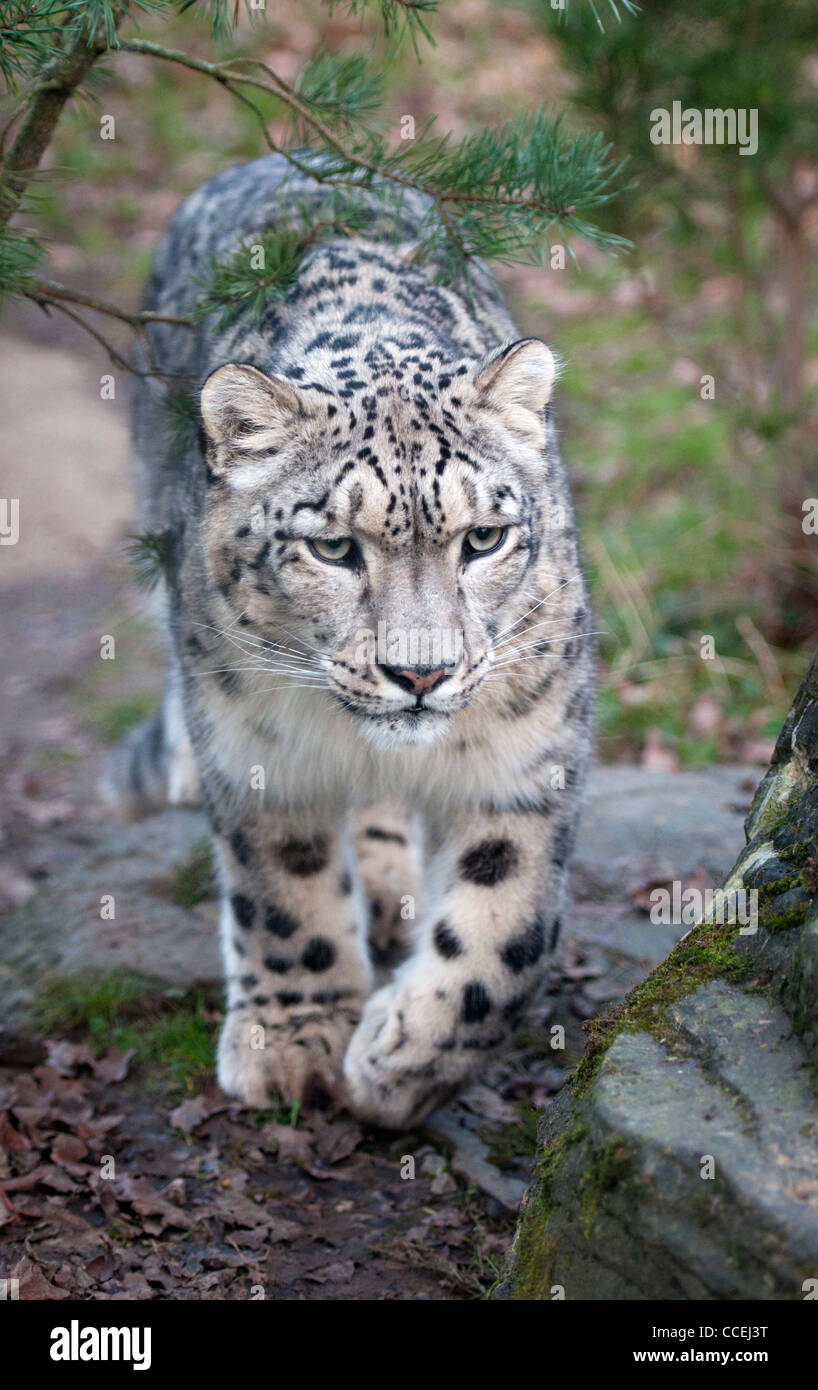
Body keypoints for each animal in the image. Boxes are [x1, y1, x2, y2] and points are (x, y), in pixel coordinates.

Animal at [105, 154, 594, 1129]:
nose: (420, 673)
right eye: (333, 548)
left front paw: (402, 1062)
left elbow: (511, 928)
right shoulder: (253, 741)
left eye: (484, 538)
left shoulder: (528, 749)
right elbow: (283, 889)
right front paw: (296, 1046)